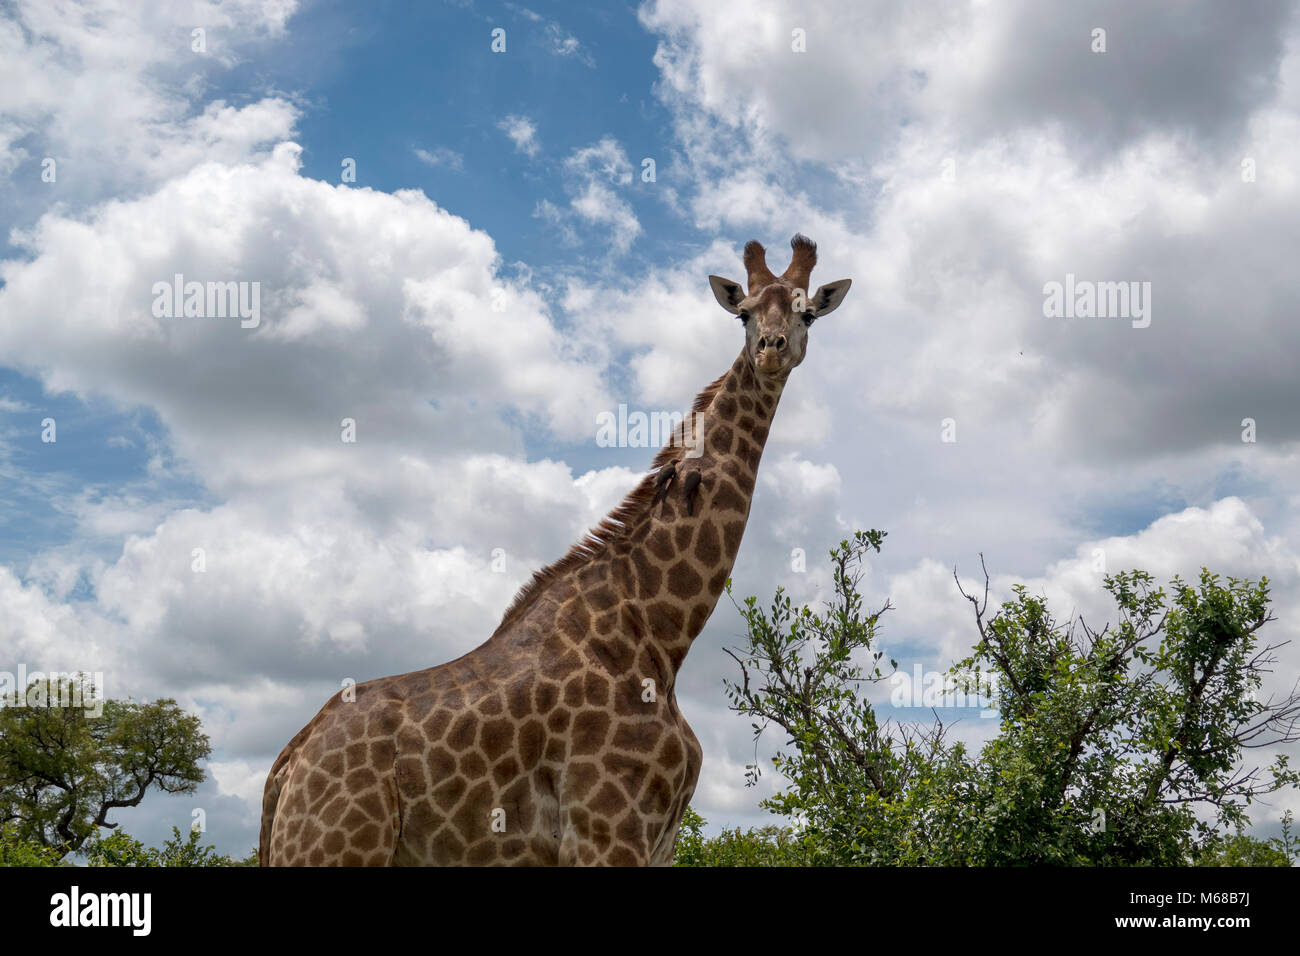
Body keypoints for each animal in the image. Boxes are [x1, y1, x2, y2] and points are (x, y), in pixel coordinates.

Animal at [259, 235, 851, 866]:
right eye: (744, 313)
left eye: (807, 313)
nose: (771, 350)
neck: (662, 633)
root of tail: (287, 765)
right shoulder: (605, 832)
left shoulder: (658, 841)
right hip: (333, 849)